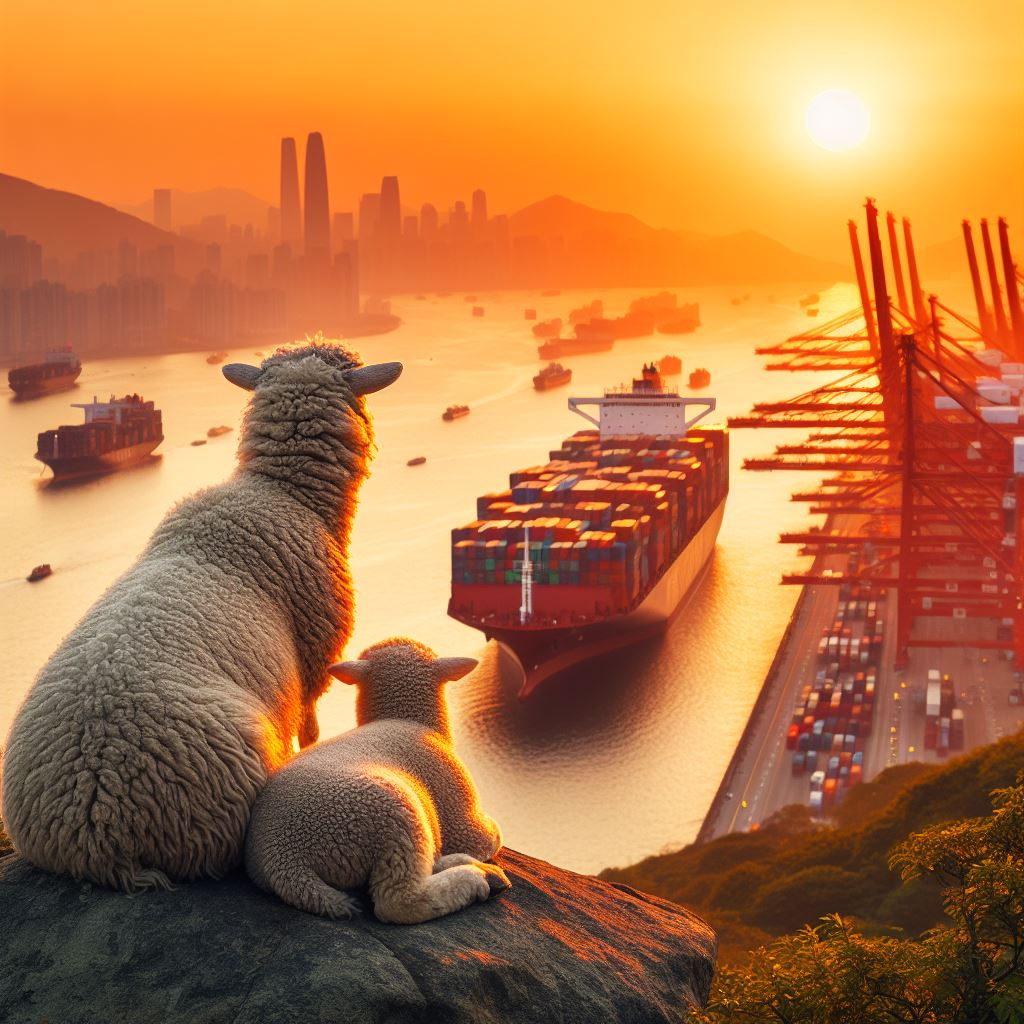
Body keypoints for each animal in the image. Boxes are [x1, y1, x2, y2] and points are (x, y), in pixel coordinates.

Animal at [244, 638, 510, 924]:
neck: (402, 717)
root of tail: (285, 858)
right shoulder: (454, 799)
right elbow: (487, 836)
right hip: (394, 818)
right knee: (398, 900)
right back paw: (477, 879)